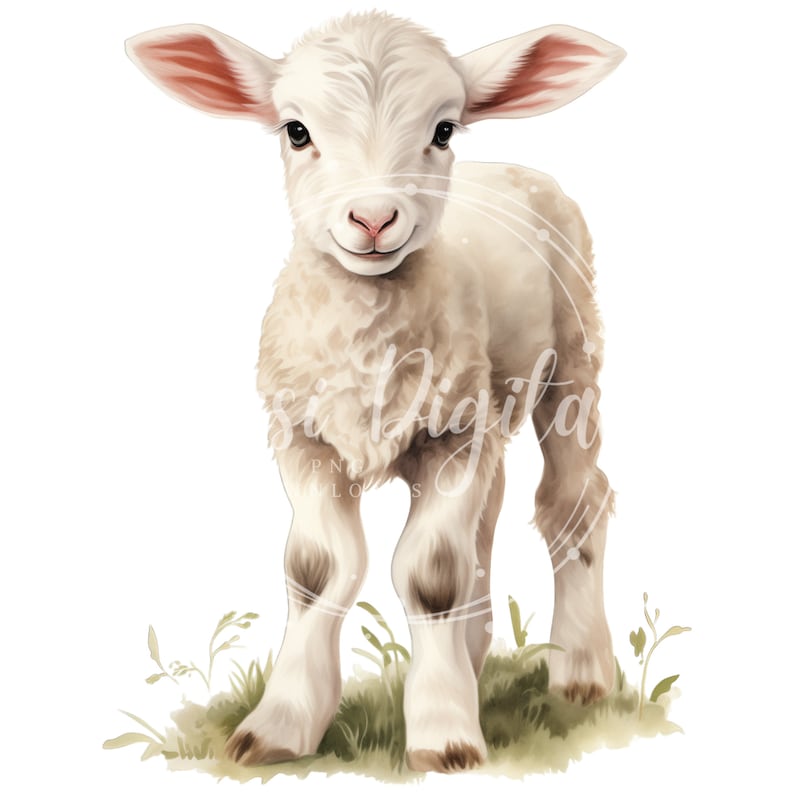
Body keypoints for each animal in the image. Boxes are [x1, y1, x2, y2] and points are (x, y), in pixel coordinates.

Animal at [126, 11, 625, 772]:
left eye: (444, 129)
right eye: (295, 130)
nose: (373, 219)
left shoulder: (450, 437)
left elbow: (431, 575)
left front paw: (444, 734)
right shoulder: (304, 439)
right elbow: (317, 570)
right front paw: (280, 725)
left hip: (572, 358)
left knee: (574, 502)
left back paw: (582, 670)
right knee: (490, 514)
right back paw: (473, 657)